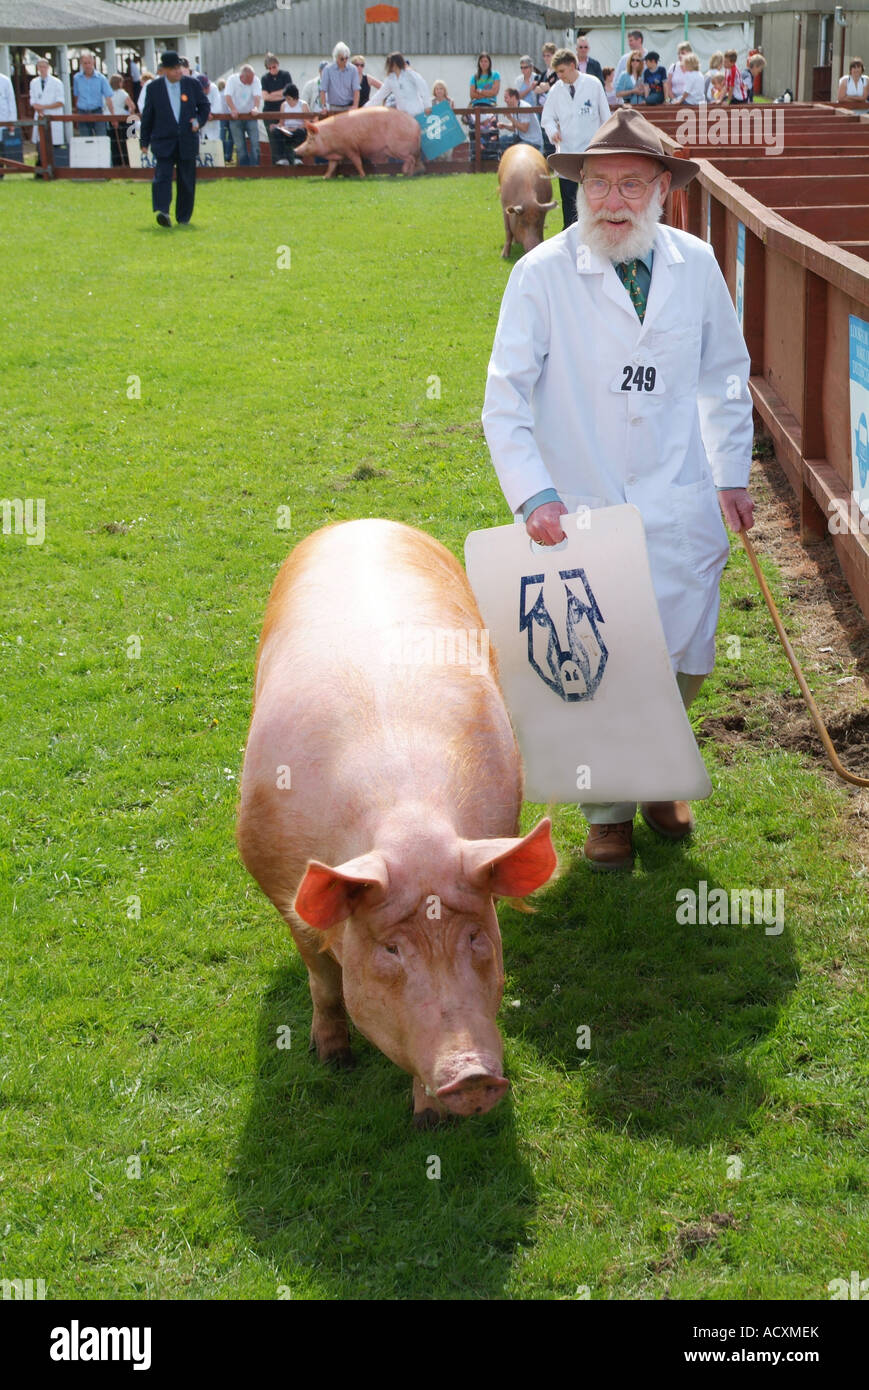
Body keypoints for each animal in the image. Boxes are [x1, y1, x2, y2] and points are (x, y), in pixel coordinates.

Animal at [237, 520, 557, 1127]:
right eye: (390, 950)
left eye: (477, 936)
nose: (474, 1076)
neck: (407, 823)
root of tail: (360, 521)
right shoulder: (273, 877)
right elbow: (322, 978)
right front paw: (332, 1060)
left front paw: (427, 1123)